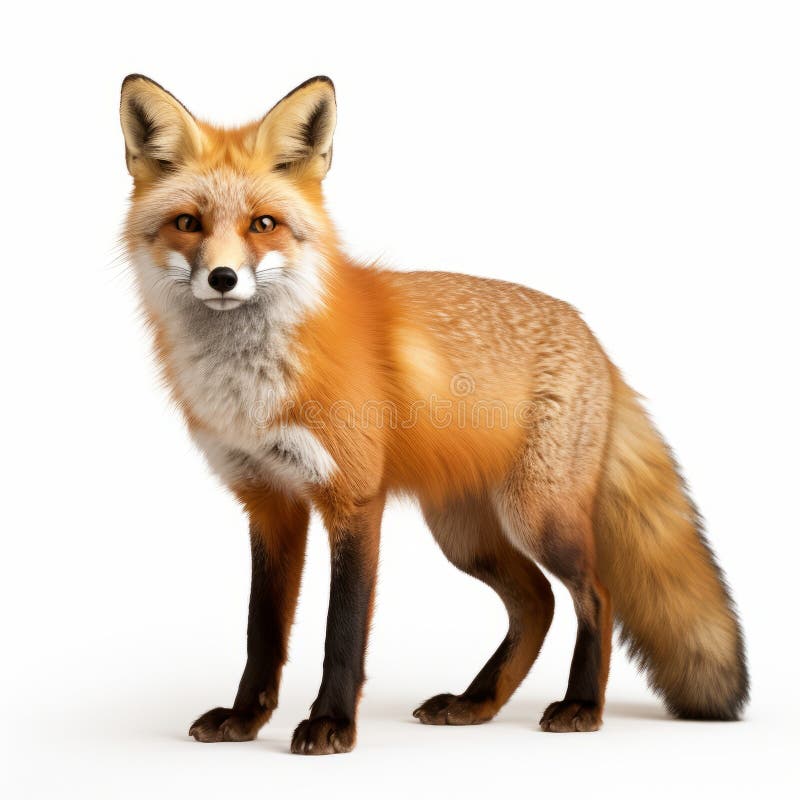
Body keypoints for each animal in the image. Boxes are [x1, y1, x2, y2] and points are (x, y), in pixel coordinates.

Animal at [119, 74, 748, 754]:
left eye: (264, 224)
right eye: (188, 223)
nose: (223, 278)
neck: (253, 386)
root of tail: (594, 340)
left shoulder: (353, 498)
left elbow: (343, 631)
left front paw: (331, 723)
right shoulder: (269, 502)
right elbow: (263, 631)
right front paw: (245, 718)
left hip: (538, 517)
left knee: (595, 595)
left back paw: (581, 703)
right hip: (464, 534)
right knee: (537, 603)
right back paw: (476, 703)